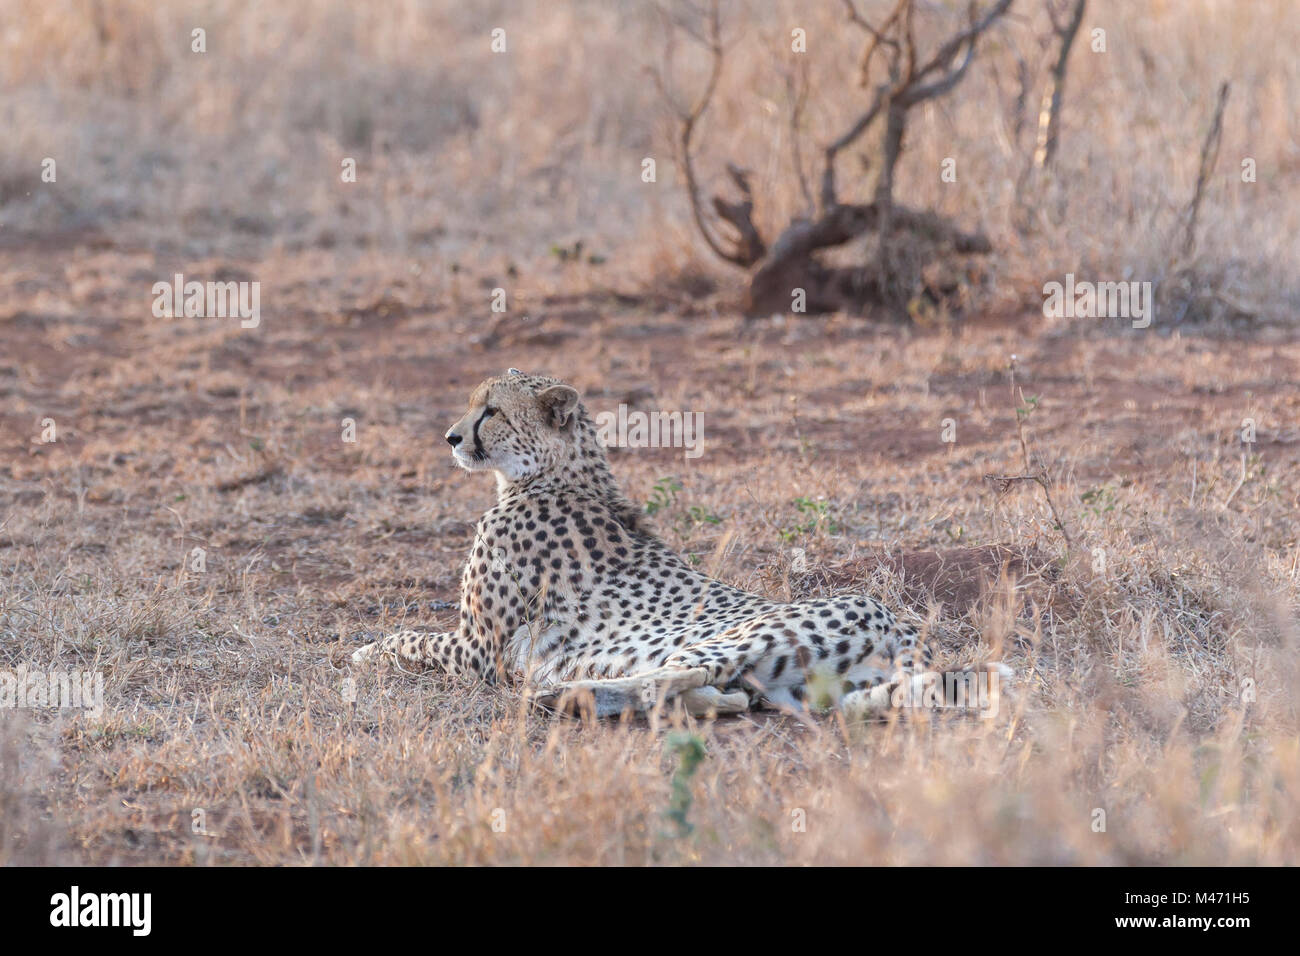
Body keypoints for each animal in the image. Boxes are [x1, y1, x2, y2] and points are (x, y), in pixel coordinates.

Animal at [350, 369, 1009, 720]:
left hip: (735, 636)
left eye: (490, 411)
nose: (451, 436)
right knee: (723, 695)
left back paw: (557, 694)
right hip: (798, 682)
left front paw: (365, 650)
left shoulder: (477, 650)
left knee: (672, 677)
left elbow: (410, 637)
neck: (555, 473)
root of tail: (896, 622)